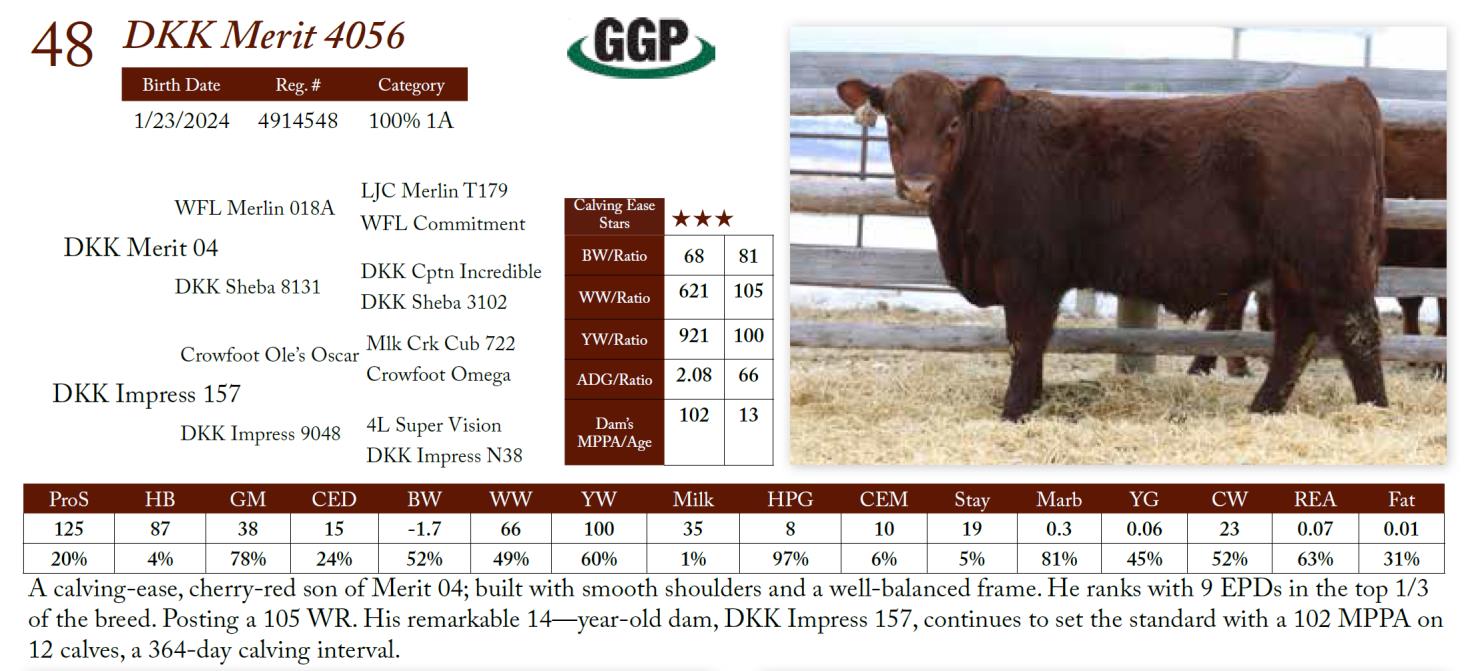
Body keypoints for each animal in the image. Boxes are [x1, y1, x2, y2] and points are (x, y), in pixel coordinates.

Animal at [836, 71, 1389, 420]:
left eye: (951, 124)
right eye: (893, 123)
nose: (918, 186)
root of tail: (1342, 90)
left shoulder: (1028, 274)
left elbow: (1025, 341)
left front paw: (1015, 410)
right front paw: (1031, 403)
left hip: (1329, 258)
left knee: (1357, 330)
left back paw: (1374, 410)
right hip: (1293, 266)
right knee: (1297, 333)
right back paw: (1263, 409)